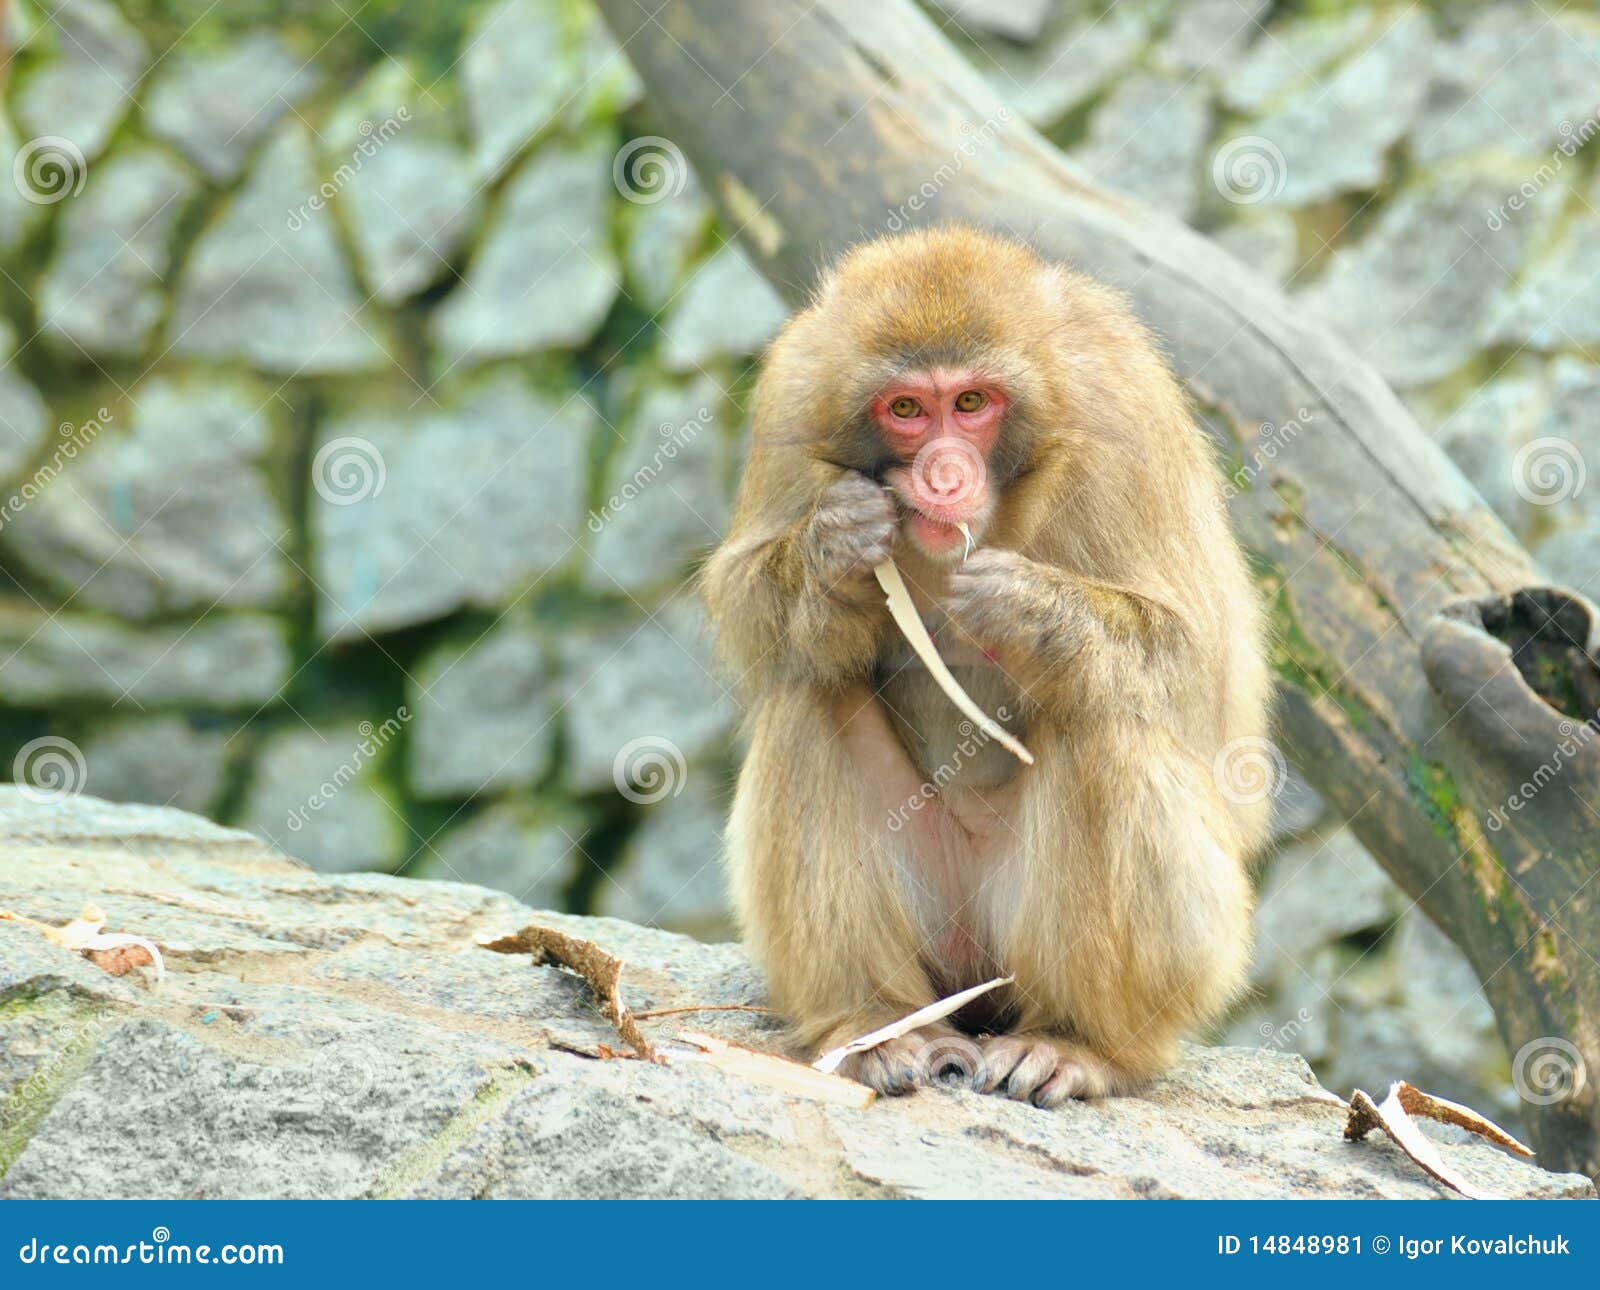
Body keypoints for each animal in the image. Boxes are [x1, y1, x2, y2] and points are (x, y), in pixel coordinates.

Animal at [700, 224, 1271, 1105]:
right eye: (906, 409)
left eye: (972, 404)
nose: (942, 474)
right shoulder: (794, 393)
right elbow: (745, 602)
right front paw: (833, 551)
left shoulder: (1124, 410)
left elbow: (1197, 659)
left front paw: (1029, 610)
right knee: (809, 690)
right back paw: (875, 1024)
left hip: (1181, 944)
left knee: (1097, 713)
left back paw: (1082, 1042)